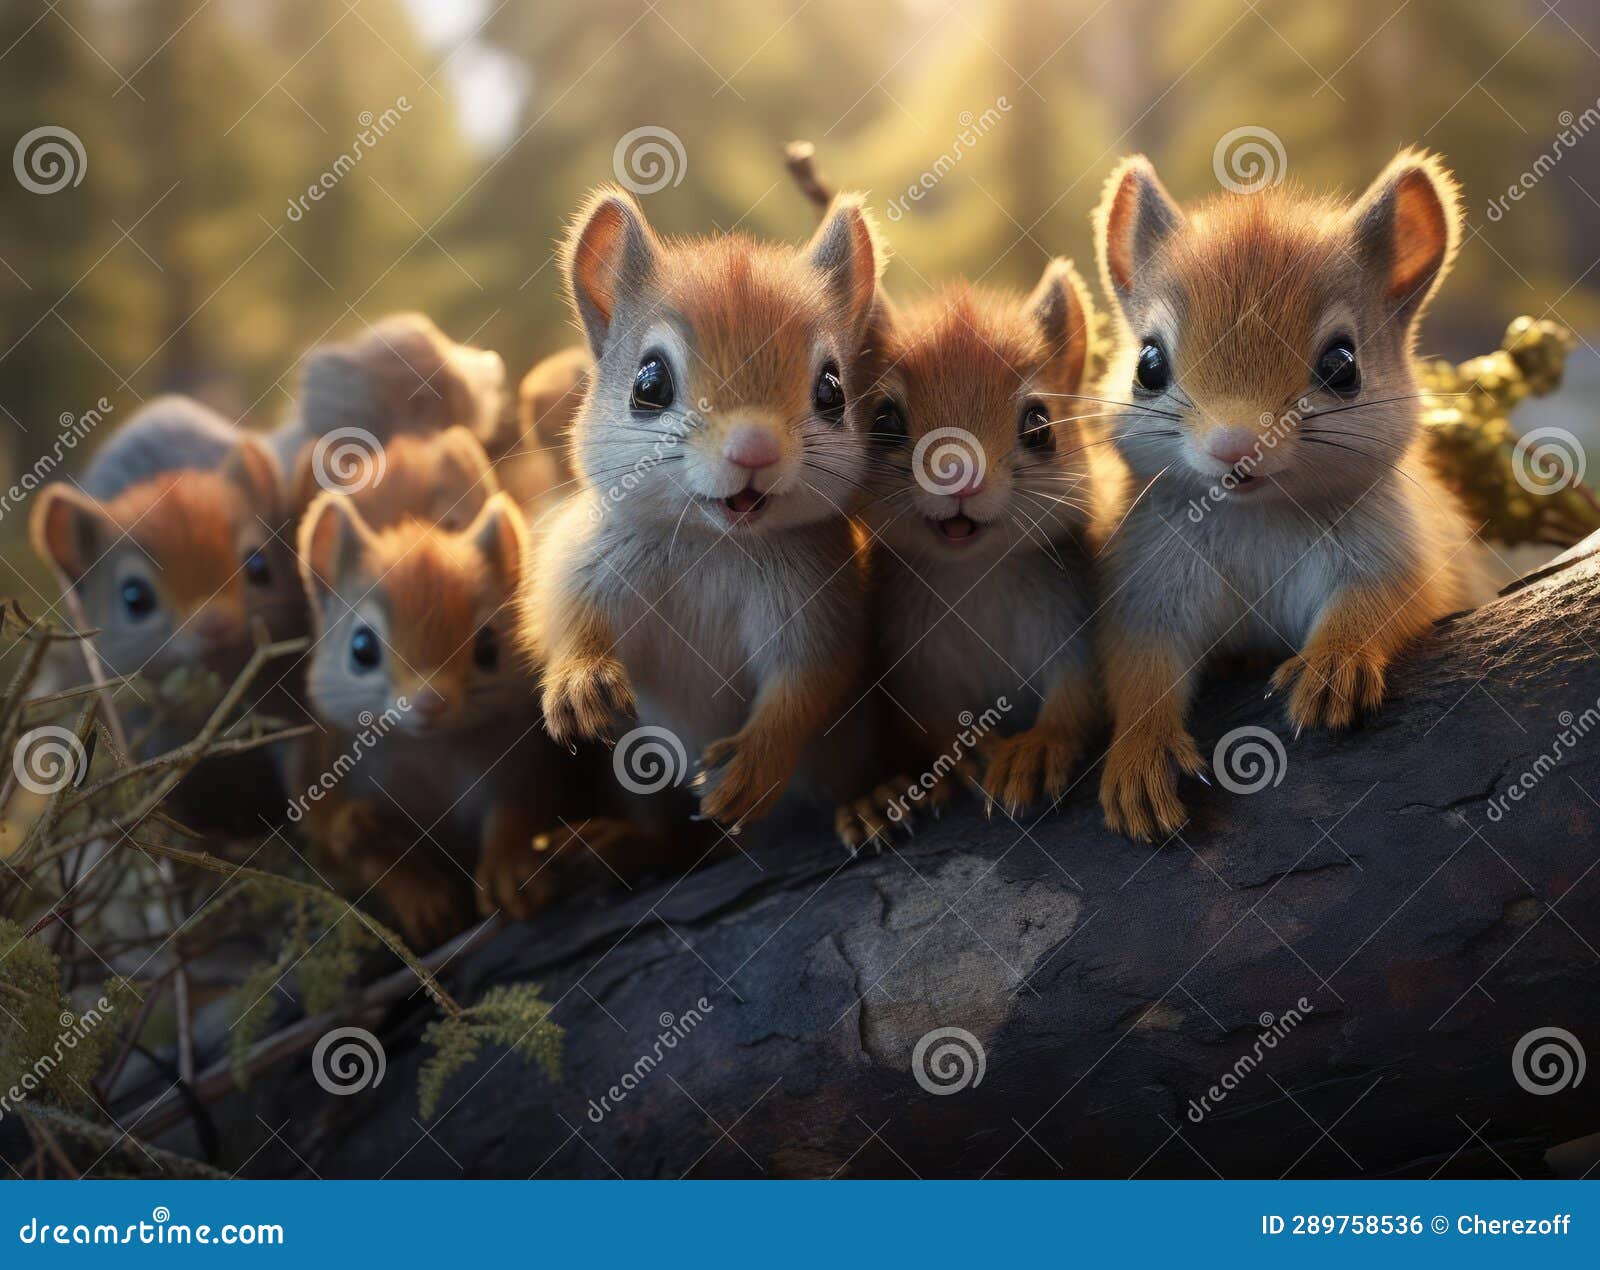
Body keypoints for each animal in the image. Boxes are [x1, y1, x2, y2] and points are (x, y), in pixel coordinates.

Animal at [523, 184, 885, 831]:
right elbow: (563, 615)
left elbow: (808, 684)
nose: (755, 448)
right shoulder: (583, 557)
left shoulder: (824, 602)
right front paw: (581, 681)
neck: (714, 543)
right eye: (648, 382)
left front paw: (752, 766)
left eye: (832, 391)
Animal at [1090, 149, 1488, 841]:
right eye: (1147, 364)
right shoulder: (1146, 581)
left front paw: (1333, 664)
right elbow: (1140, 661)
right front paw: (1140, 754)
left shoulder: (1395, 550)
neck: (1257, 516)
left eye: (1343, 365)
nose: (1235, 446)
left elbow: (1384, 600)